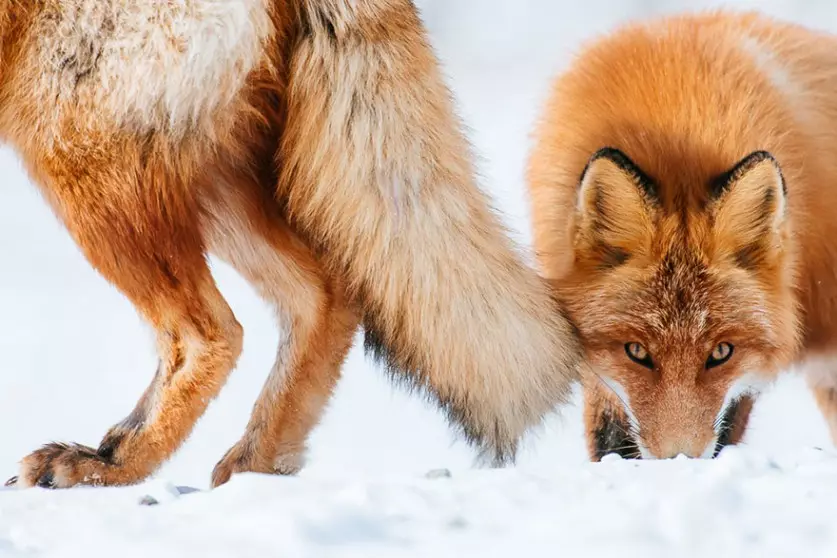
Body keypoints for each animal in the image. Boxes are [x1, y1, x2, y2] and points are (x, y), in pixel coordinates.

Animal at [1, 0, 580, 490]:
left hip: (75, 158)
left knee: (212, 333)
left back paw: (112, 463)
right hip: (219, 180)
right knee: (324, 295)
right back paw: (252, 465)